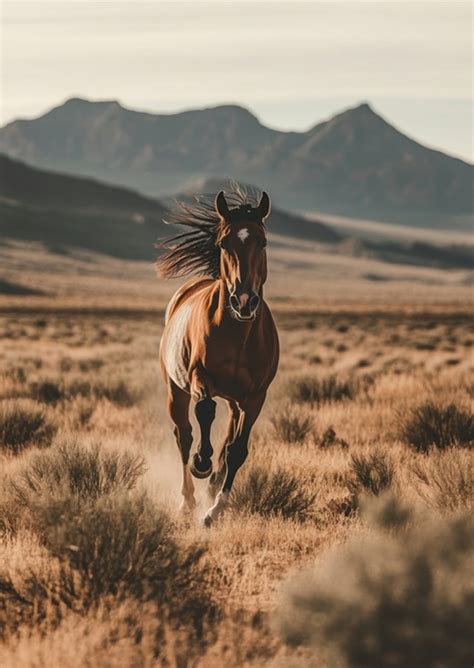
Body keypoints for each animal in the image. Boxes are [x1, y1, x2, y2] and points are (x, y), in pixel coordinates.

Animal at [157, 185, 279, 526]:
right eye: (224, 243)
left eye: (262, 242)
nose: (244, 301)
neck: (237, 335)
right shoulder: (200, 378)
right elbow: (205, 411)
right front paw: (202, 462)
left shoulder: (255, 397)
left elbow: (237, 449)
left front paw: (216, 508)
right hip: (175, 389)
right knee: (184, 434)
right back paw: (188, 498)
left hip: (236, 401)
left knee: (226, 438)